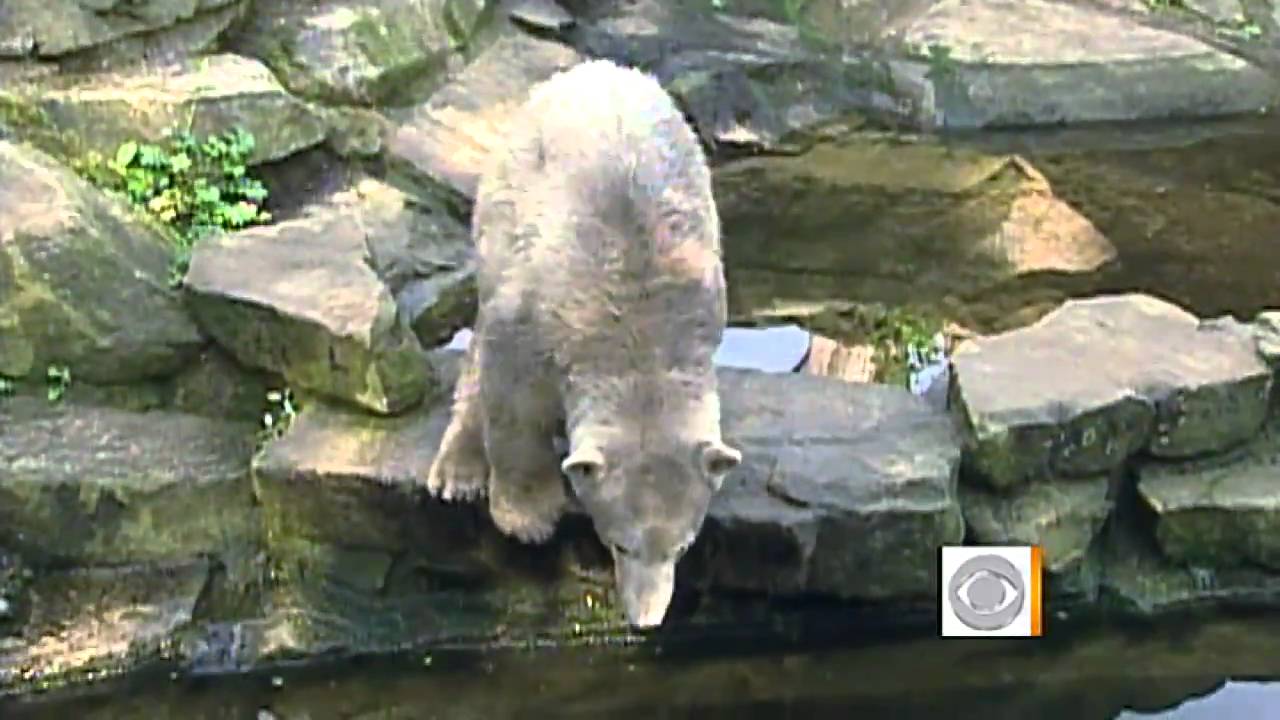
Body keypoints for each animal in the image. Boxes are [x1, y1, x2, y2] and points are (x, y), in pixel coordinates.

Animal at [423, 58, 743, 629]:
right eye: (618, 543)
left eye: (681, 548)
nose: (646, 619)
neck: (638, 328)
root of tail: (594, 69)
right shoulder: (535, 314)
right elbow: (511, 394)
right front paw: (527, 515)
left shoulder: (705, 296)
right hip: (505, 193)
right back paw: (457, 472)